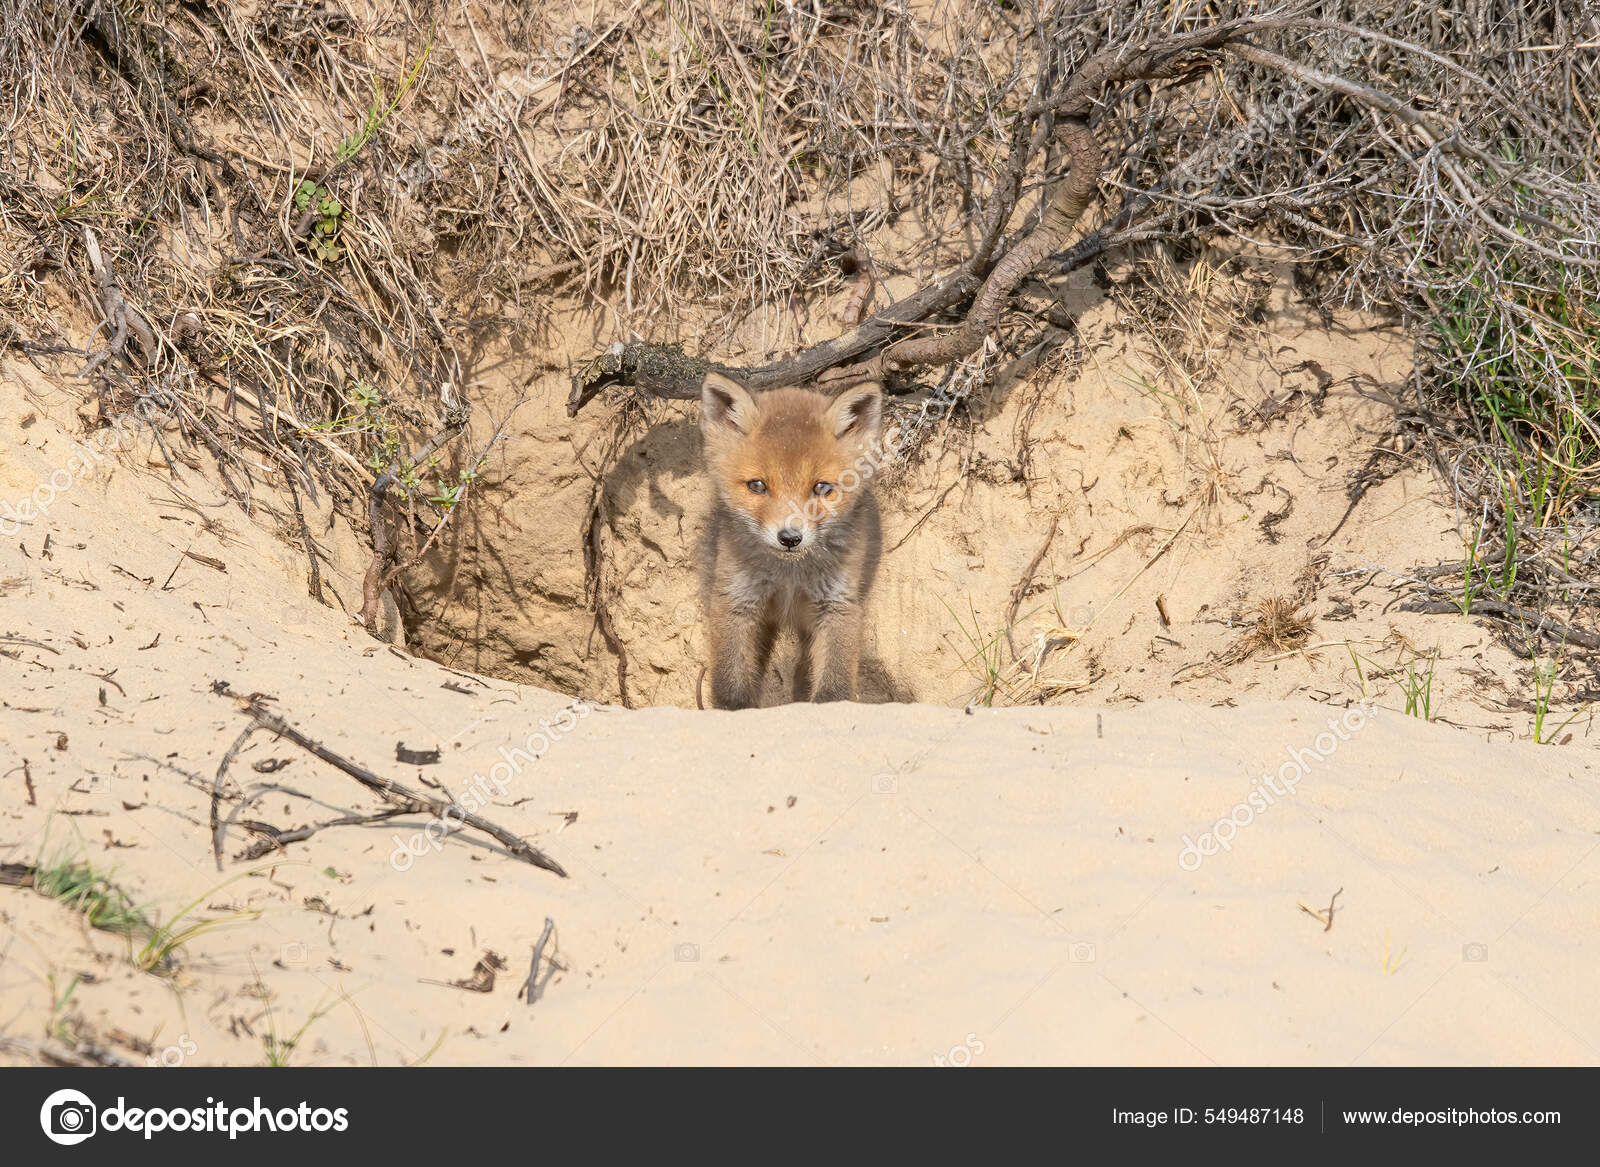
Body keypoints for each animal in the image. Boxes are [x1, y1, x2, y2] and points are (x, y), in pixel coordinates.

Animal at [698, 371, 884, 710]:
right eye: (757, 485)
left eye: (821, 488)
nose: (789, 538)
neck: (789, 575)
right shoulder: (735, 601)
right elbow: (730, 685)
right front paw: (735, 709)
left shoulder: (838, 605)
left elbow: (835, 688)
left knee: (803, 672)